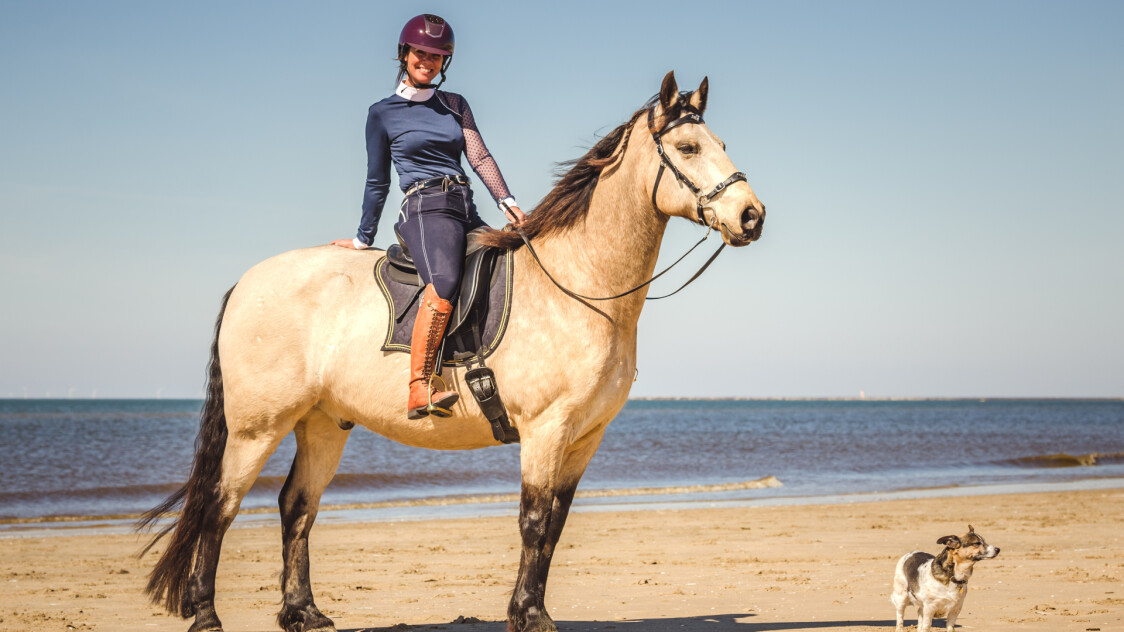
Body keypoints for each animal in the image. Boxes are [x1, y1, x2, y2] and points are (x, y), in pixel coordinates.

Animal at [140, 71, 766, 632]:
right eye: (688, 147)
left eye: (721, 144)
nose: (751, 216)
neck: (580, 283)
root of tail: (246, 283)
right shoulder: (546, 428)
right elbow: (534, 521)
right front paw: (528, 616)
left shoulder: (585, 436)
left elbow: (556, 525)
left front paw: (534, 610)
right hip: (256, 428)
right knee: (219, 507)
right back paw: (206, 615)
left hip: (321, 424)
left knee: (296, 507)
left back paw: (303, 614)